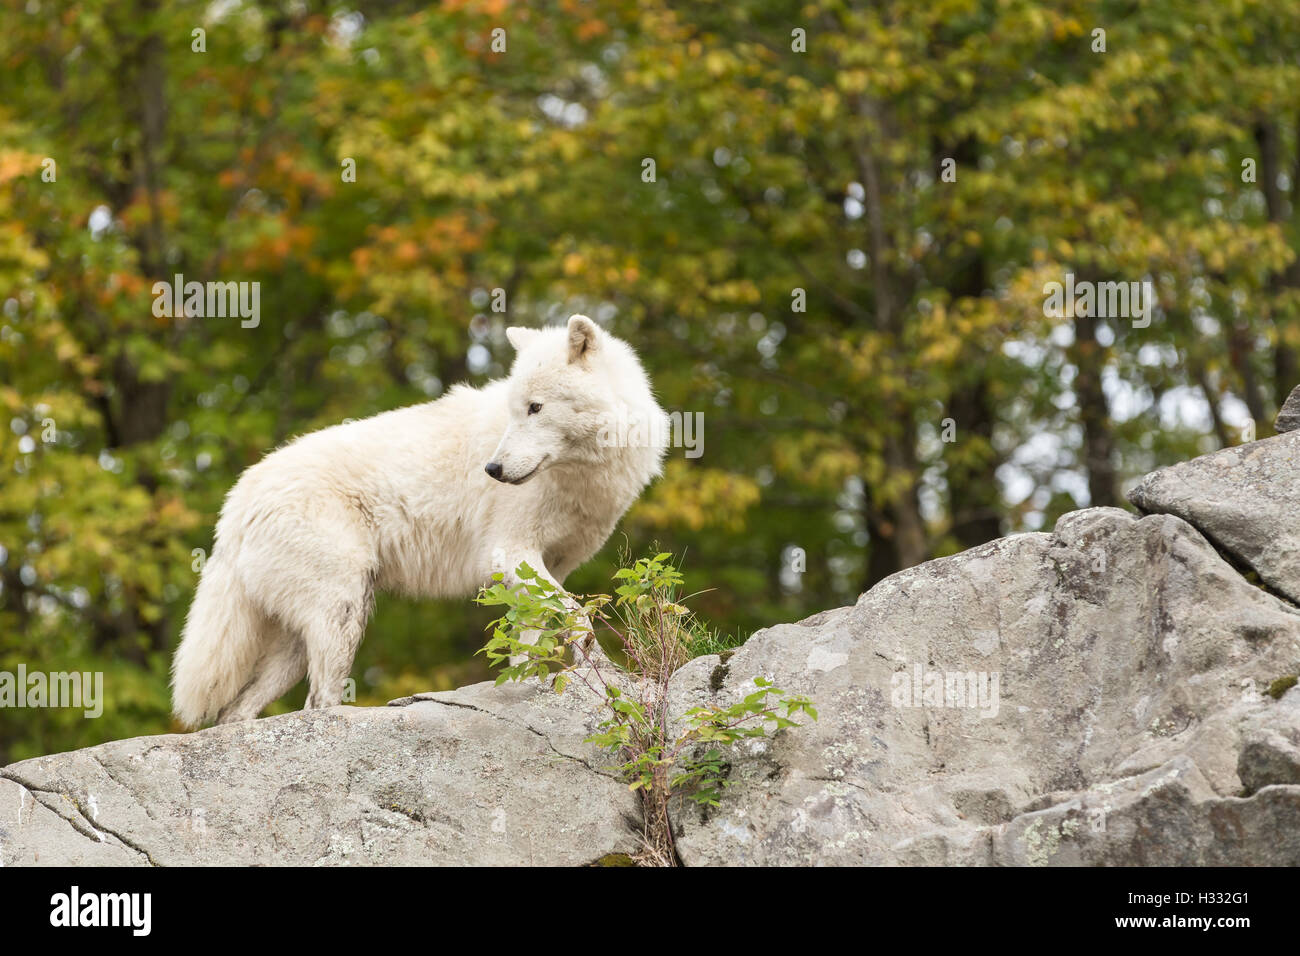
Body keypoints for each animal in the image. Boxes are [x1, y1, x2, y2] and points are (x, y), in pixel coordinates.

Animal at [171, 315, 668, 728]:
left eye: (536, 408)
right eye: (517, 410)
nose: (492, 470)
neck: (584, 475)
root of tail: (238, 501)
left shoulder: (542, 568)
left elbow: (529, 641)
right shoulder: (510, 554)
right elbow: (577, 615)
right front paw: (598, 666)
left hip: (301, 641)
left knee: (236, 714)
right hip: (343, 611)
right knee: (316, 704)